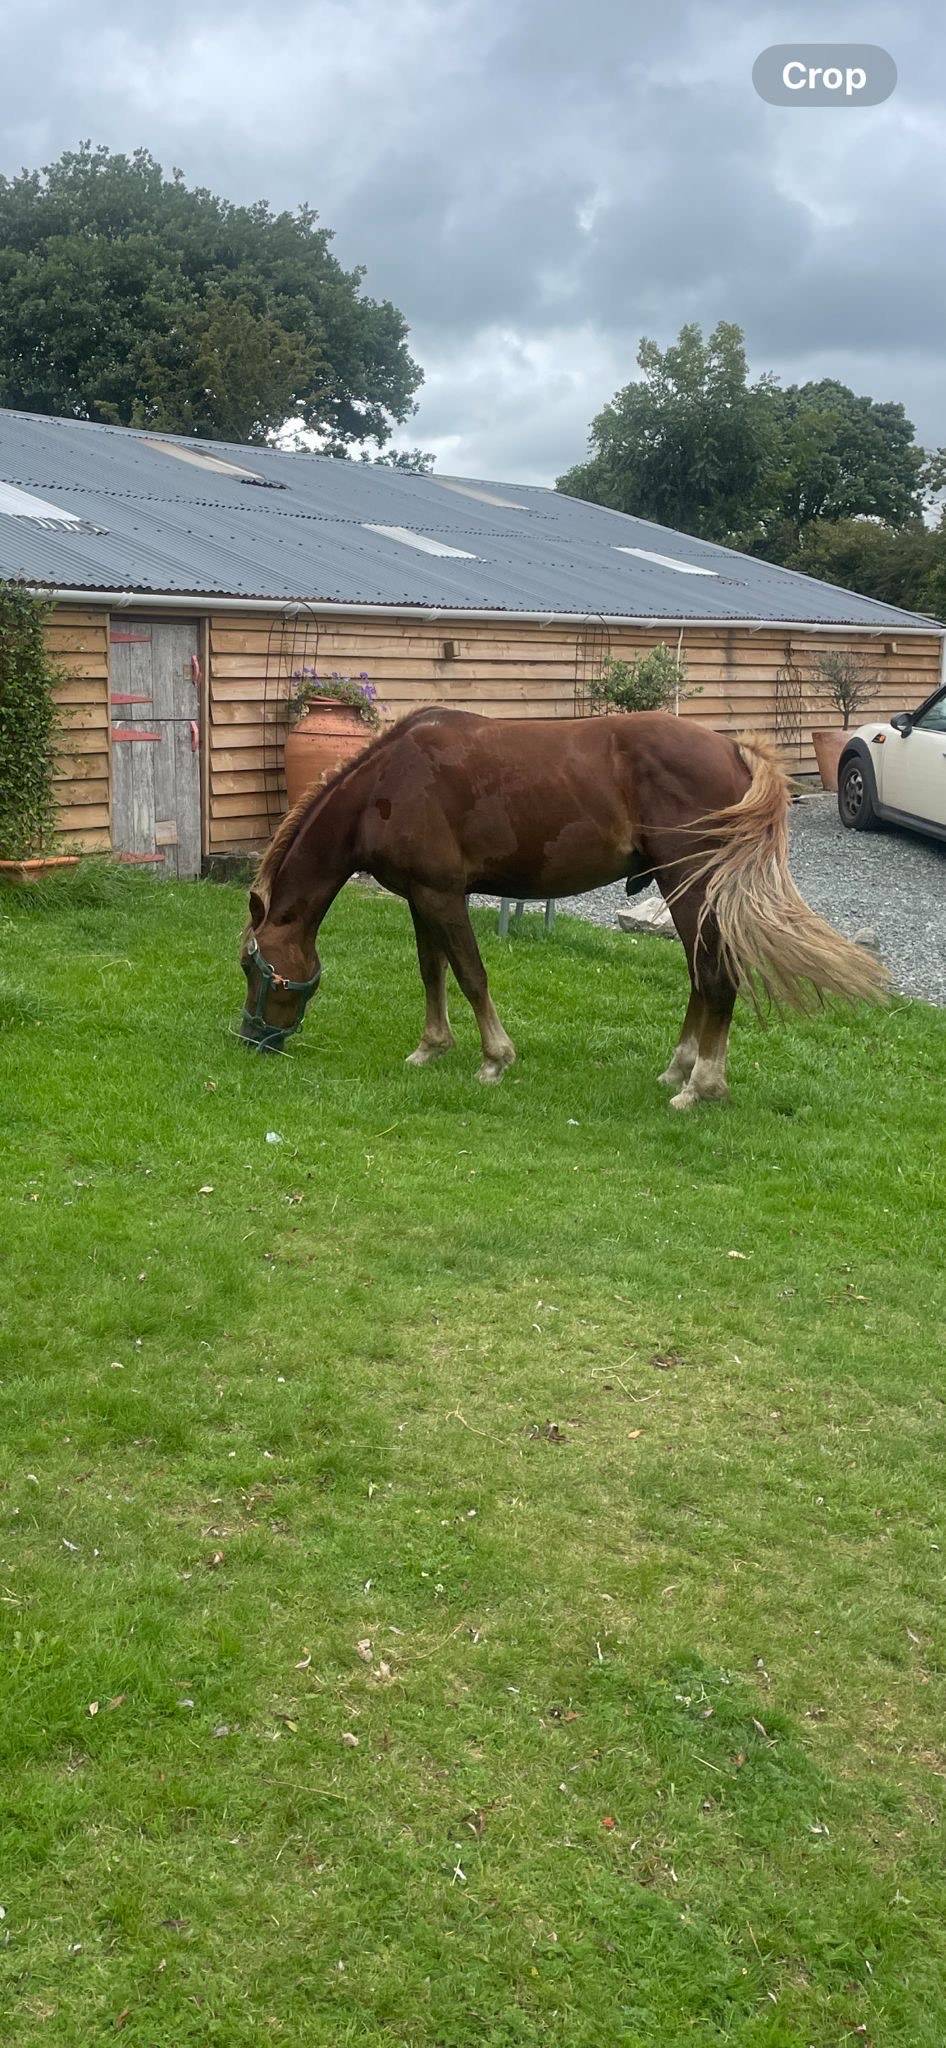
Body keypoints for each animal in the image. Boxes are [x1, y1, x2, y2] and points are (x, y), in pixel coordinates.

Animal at [239, 707, 887, 1109]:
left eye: (253, 967)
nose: (251, 1039)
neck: (387, 784)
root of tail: (733, 750)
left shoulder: (442, 896)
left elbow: (471, 974)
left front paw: (494, 1060)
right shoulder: (423, 897)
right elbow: (433, 972)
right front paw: (430, 1047)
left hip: (692, 886)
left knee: (715, 975)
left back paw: (700, 1085)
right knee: (699, 978)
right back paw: (679, 1068)